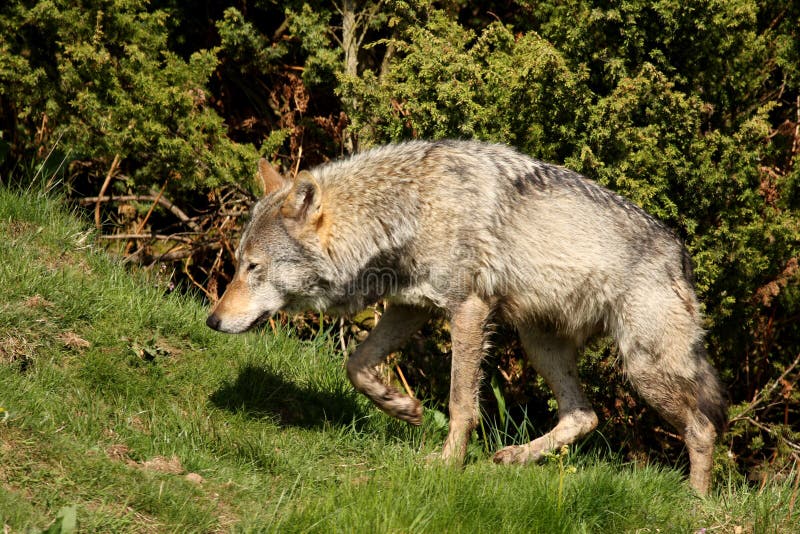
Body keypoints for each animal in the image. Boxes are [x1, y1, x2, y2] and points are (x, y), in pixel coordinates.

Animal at [206, 139, 727, 494]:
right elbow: (355, 366)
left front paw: (447, 465)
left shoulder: (468, 310)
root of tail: (681, 255)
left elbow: (461, 403)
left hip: (643, 370)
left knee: (702, 428)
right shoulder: (410, 306)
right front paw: (403, 407)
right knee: (585, 415)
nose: (212, 320)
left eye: (253, 267)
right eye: (236, 262)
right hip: (541, 346)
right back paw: (515, 458)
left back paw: (694, 502)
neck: (407, 209)